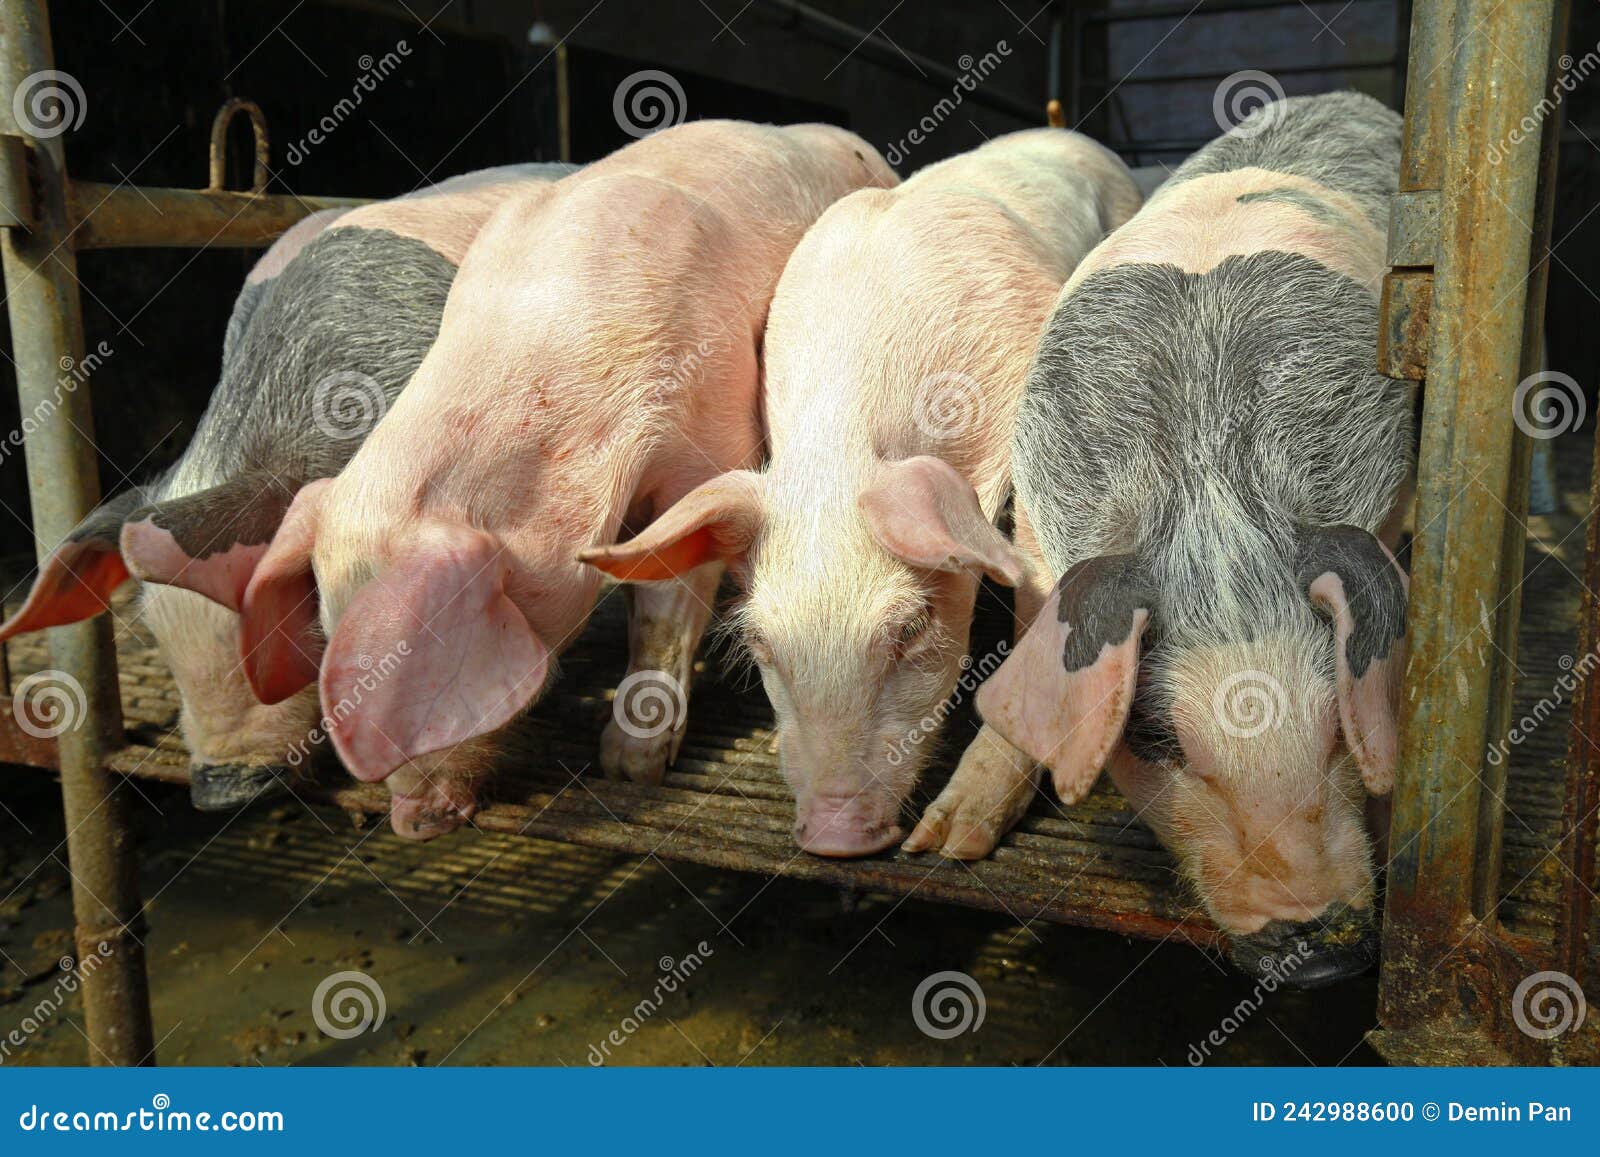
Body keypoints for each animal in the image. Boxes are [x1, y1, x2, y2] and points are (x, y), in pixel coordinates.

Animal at [928, 92, 1410, 986]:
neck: (1212, 509)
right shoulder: (1037, 537)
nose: (1319, 953)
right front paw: (944, 849)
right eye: (1157, 739)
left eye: (1335, 725)